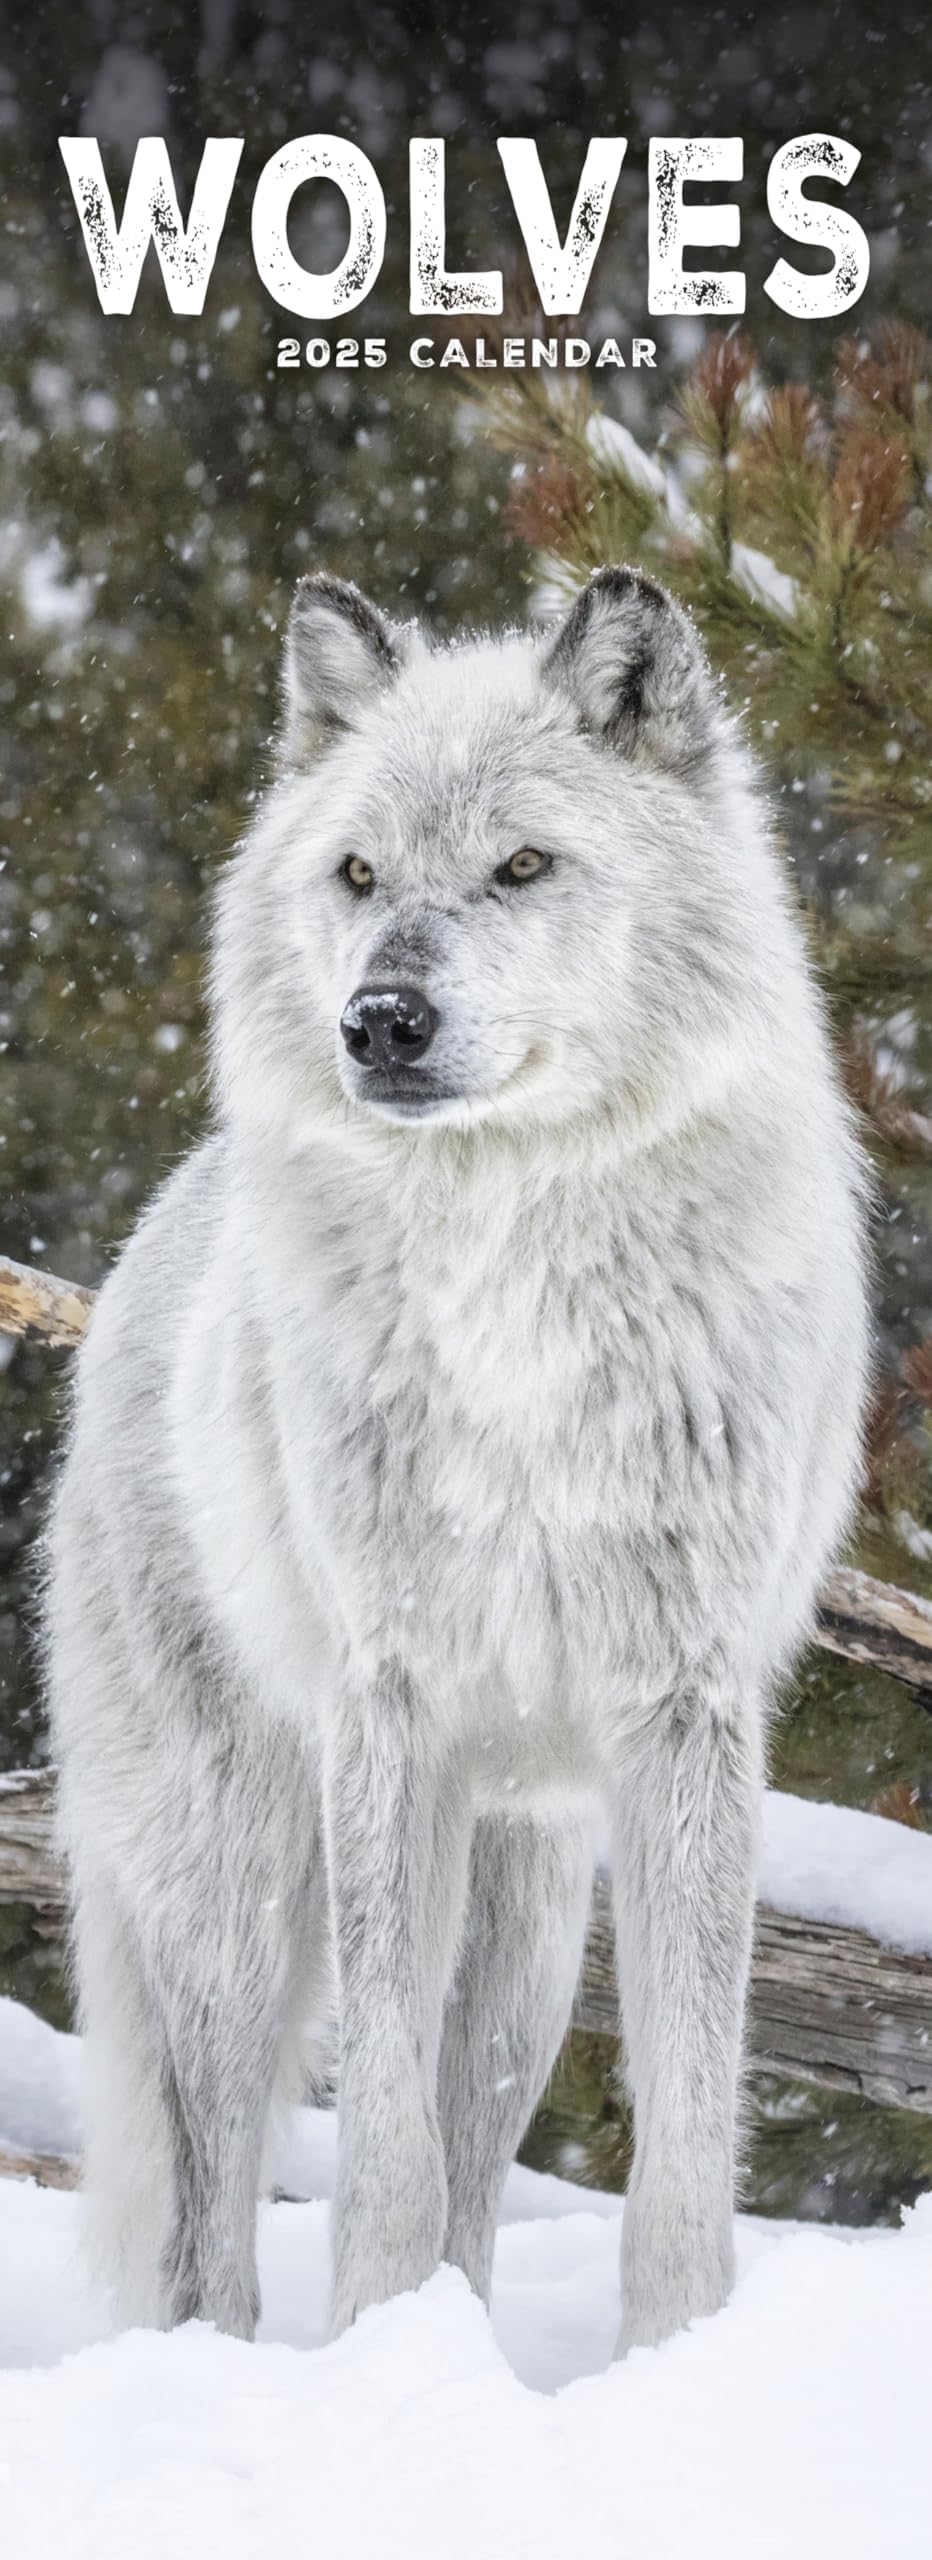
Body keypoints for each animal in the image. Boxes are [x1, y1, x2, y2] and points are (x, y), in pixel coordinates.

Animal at [46, 565, 867, 2354]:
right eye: (359, 874)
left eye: (524, 867)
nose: (382, 1019)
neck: (517, 1285)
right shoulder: (392, 1709)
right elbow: (380, 2148)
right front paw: (375, 2353)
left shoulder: (682, 1716)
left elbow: (686, 2124)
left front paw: (672, 2359)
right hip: (237, 1887)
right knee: (213, 2208)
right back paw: (236, 2365)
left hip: (533, 1913)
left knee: (481, 2125)